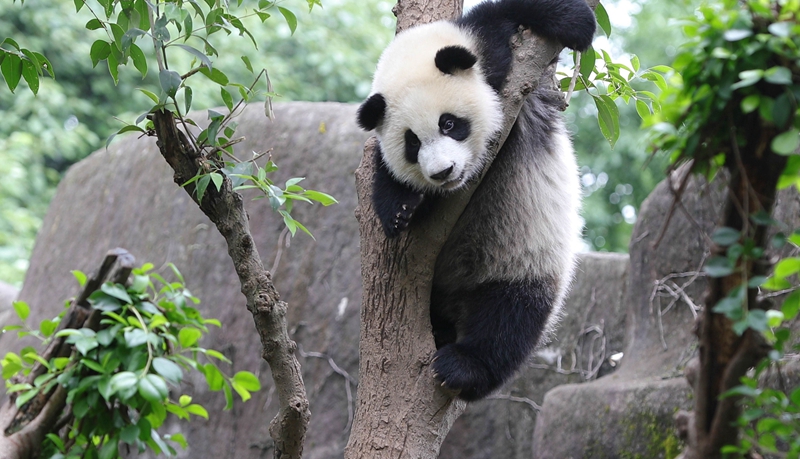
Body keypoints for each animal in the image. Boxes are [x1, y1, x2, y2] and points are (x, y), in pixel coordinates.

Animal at [356, 0, 595, 401]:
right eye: (412, 143)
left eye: (449, 124)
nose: (443, 172)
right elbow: (385, 173)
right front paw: (400, 208)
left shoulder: (510, 75)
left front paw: (576, 23)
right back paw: (441, 335)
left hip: (520, 258)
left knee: (511, 316)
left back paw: (464, 368)